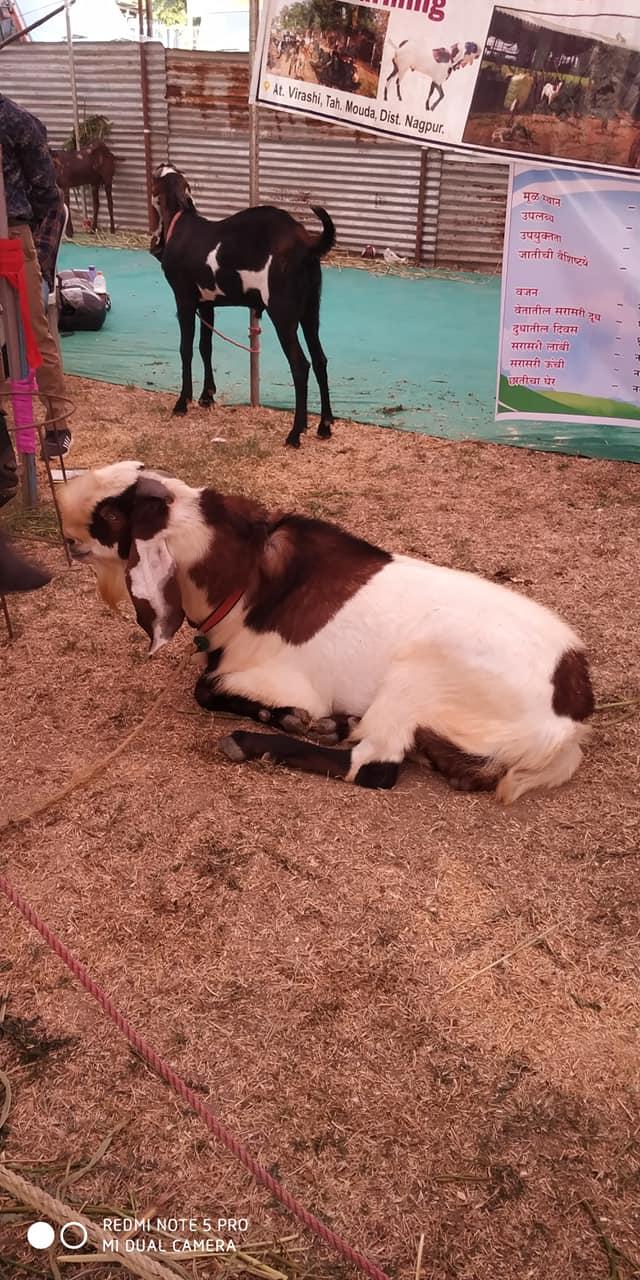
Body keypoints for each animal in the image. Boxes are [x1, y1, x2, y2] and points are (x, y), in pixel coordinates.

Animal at [60, 461, 595, 803]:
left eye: (110, 515)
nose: (67, 541)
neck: (245, 573)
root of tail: (568, 722)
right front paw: (297, 718)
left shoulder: (284, 675)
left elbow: (205, 688)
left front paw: (285, 717)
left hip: (422, 670)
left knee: (376, 766)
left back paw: (254, 742)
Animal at [150, 165, 336, 449]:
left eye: (155, 176)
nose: (160, 164)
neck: (180, 222)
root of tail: (305, 243)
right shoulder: (207, 304)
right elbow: (205, 346)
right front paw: (207, 396)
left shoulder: (184, 300)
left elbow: (186, 348)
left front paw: (183, 402)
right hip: (309, 312)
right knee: (320, 360)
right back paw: (324, 426)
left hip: (283, 314)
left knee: (300, 365)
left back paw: (295, 433)